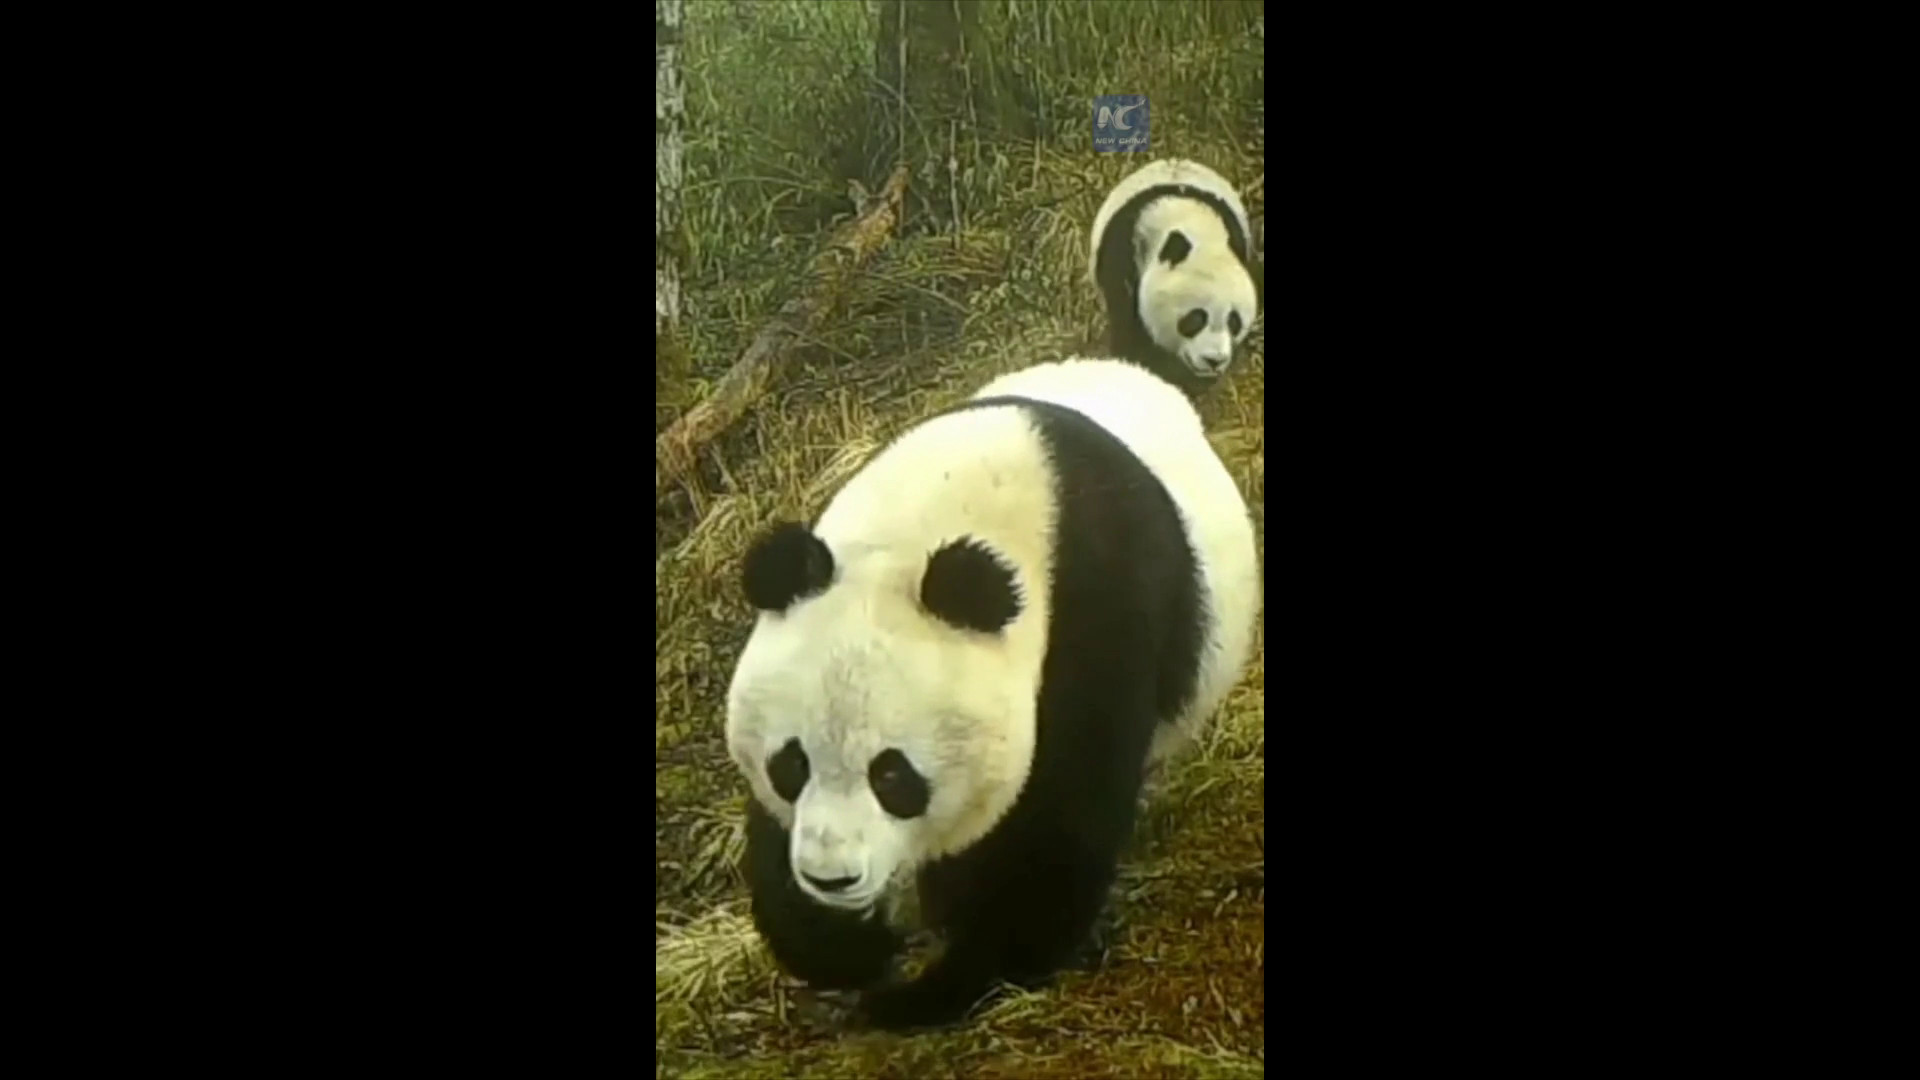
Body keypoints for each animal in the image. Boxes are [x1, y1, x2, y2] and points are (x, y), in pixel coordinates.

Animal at [725, 357, 1261, 1031]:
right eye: (791, 764)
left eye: (893, 776)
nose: (832, 878)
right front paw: (844, 948)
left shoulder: (1095, 614)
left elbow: (1055, 825)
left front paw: (938, 988)